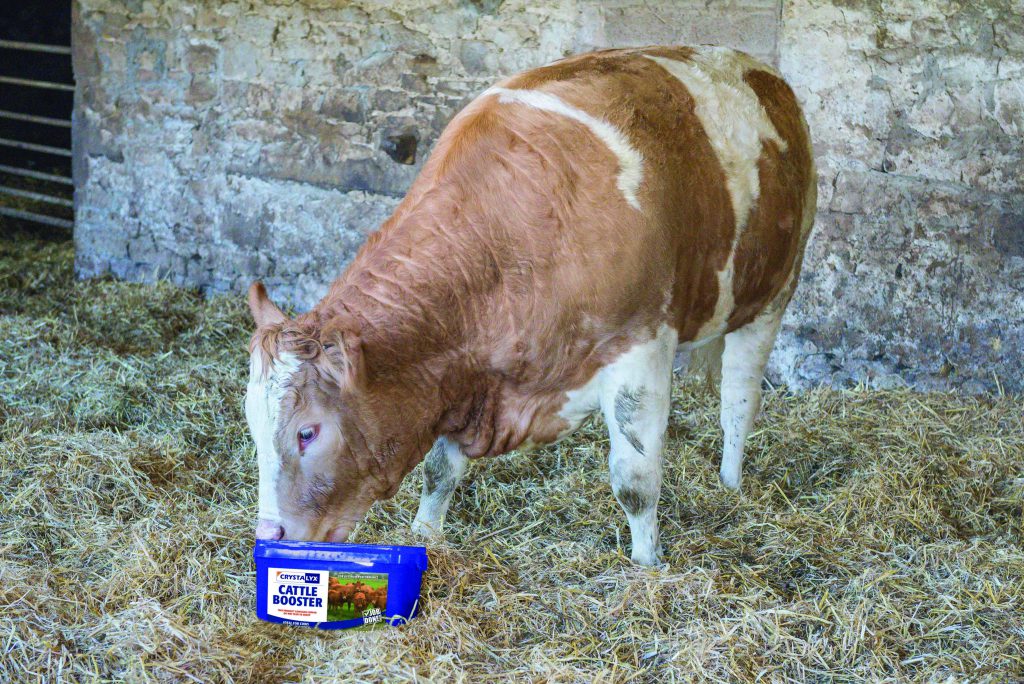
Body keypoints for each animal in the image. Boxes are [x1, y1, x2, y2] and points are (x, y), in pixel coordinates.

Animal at [246, 45, 816, 566]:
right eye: (251, 425)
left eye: (307, 432)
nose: (270, 534)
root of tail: (758, 69)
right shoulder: (463, 376)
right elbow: (439, 470)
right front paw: (427, 533)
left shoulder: (641, 346)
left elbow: (635, 480)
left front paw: (647, 565)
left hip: (773, 292)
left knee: (738, 401)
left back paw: (730, 483)